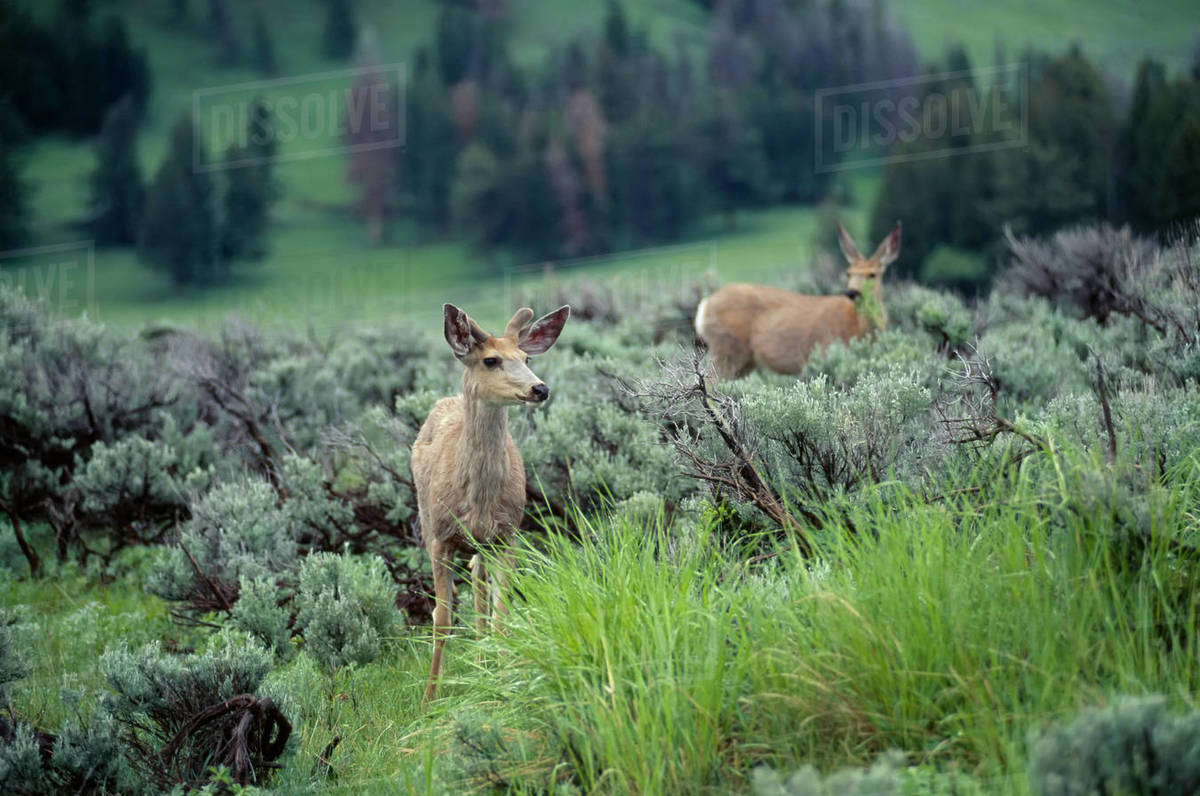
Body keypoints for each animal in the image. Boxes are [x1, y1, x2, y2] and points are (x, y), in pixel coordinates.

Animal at [411, 302, 570, 704]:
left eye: (526, 357)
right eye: (491, 360)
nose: (540, 388)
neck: (477, 500)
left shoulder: (507, 534)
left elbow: (501, 614)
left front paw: (501, 683)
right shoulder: (440, 536)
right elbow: (441, 619)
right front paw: (429, 698)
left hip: (483, 544)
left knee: (479, 586)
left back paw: (483, 663)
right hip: (425, 515)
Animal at [694, 221, 901, 379]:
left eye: (872, 274)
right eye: (848, 273)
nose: (851, 292)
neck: (858, 327)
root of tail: (704, 305)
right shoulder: (825, 352)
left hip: (743, 361)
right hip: (727, 349)